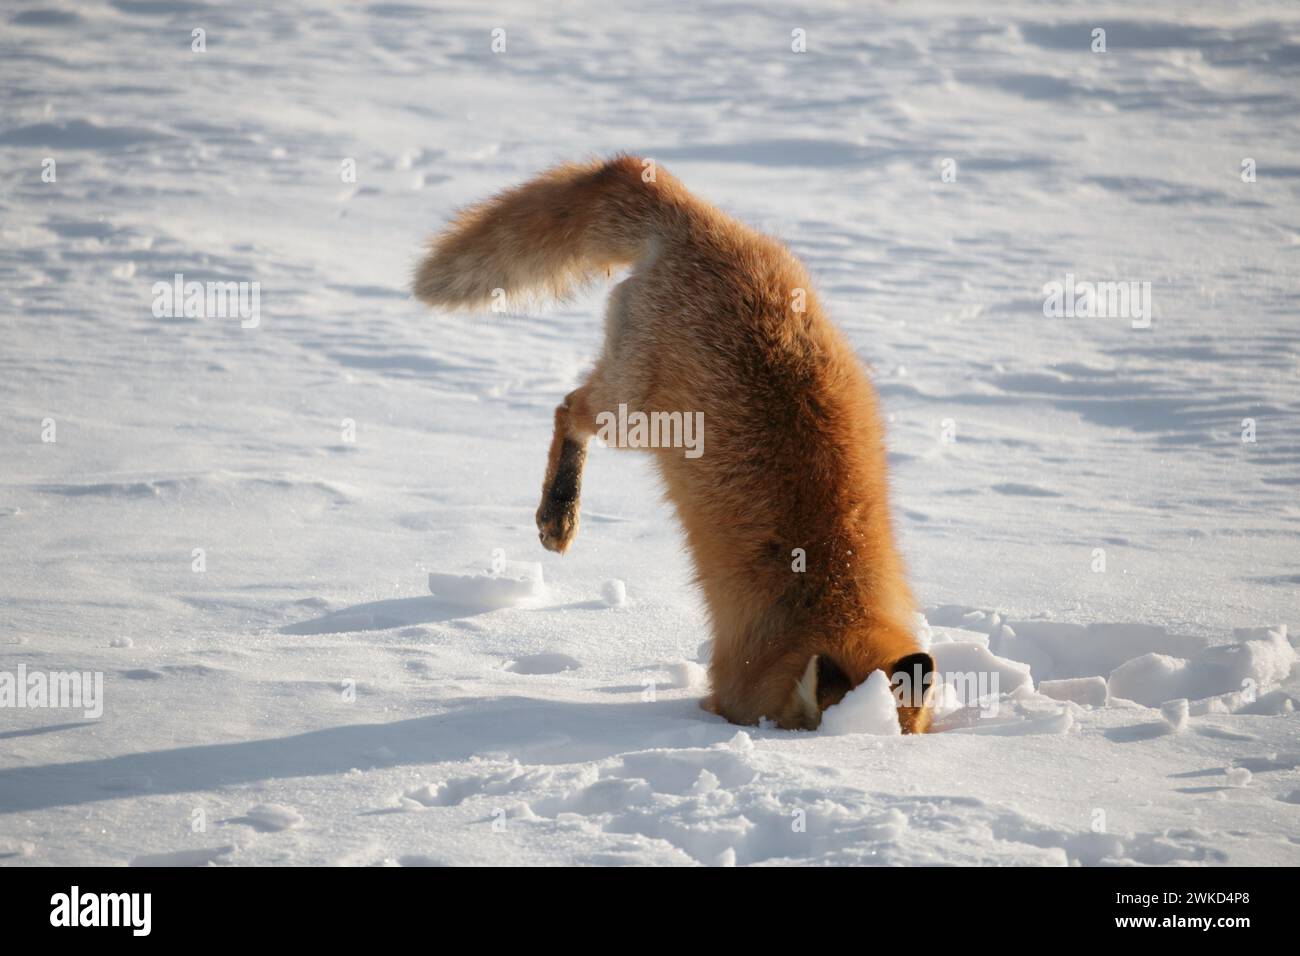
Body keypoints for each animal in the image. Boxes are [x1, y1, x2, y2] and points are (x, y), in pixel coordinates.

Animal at [413, 155, 936, 733]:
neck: (827, 591)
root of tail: (697, 218)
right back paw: (559, 513)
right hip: (631, 415)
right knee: (568, 408)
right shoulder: (735, 678)